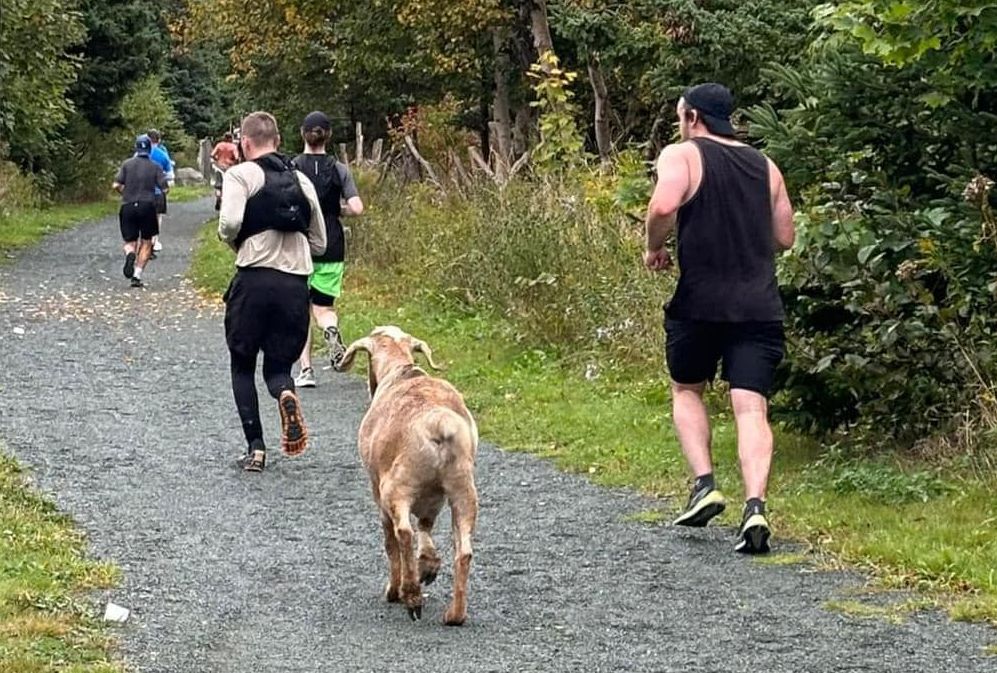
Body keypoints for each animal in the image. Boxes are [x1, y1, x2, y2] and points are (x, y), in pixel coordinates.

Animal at [337, 326, 479, 625]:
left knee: (403, 533)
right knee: (463, 551)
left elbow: (391, 541)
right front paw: (428, 566)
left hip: (395, 488)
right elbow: (426, 528)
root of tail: (438, 423)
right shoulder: (434, 499)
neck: (400, 371)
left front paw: (395, 589)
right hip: (462, 490)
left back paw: (410, 594)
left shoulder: (377, 491)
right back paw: (454, 614)